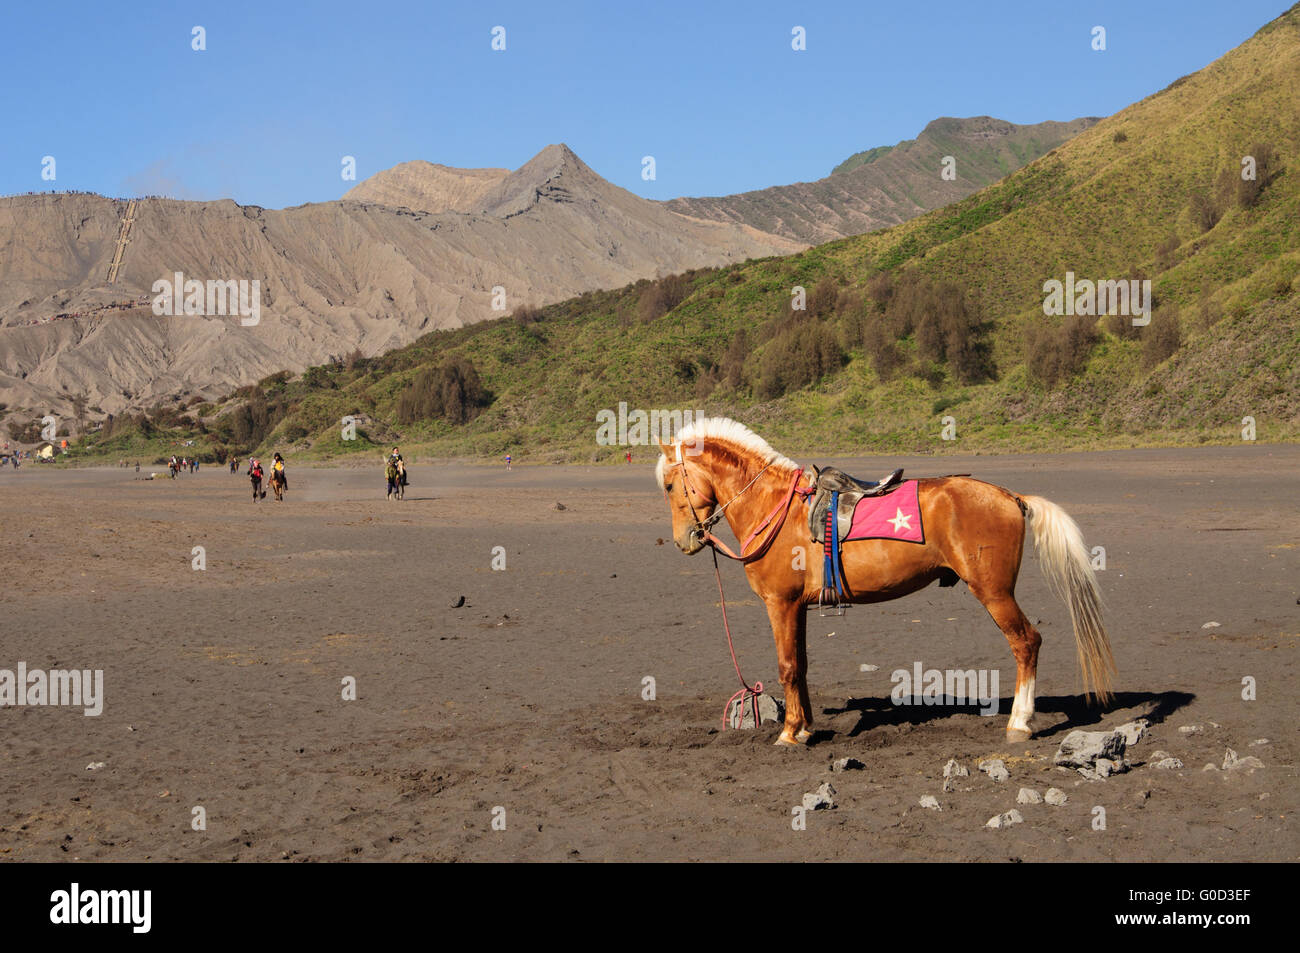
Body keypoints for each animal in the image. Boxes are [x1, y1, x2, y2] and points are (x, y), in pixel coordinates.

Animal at [655, 417, 1113, 747]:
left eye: (670, 485)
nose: (684, 541)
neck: (773, 507)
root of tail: (1010, 497)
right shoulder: (797, 607)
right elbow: (800, 666)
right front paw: (804, 726)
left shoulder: (779, 603)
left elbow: (786, 667)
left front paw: (788, 733)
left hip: (994, 592)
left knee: (1026, 643)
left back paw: (1020, 722)